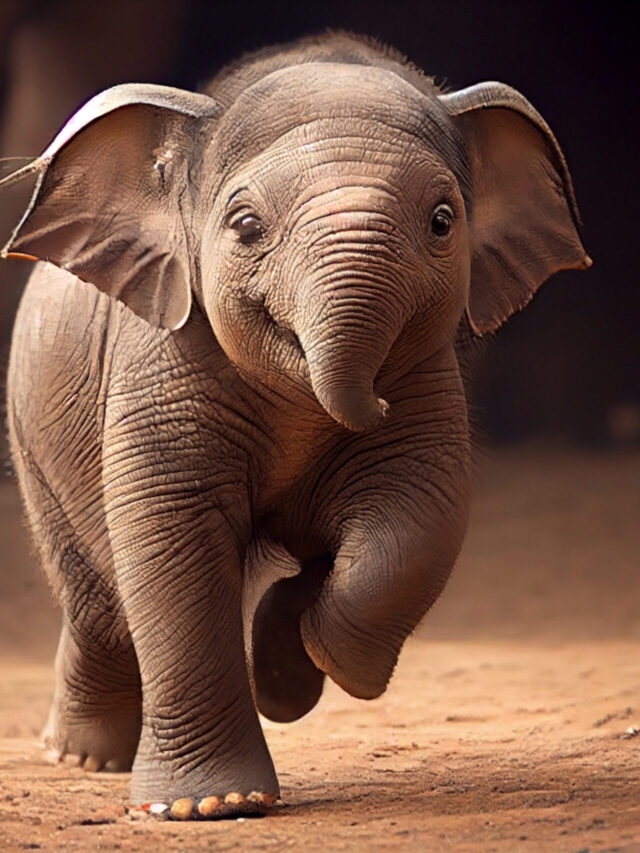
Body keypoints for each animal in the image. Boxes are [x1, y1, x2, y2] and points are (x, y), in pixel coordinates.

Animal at [0, 33, 590, 819]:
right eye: (246, 226)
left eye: (442, 221)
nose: (373, 405)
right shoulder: (160, 364)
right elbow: (173, 542)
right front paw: (213, 806)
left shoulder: (427, 376)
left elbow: (420, 511)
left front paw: (313, 659)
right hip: (33, 437)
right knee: (99, 598)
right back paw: (84, 758)